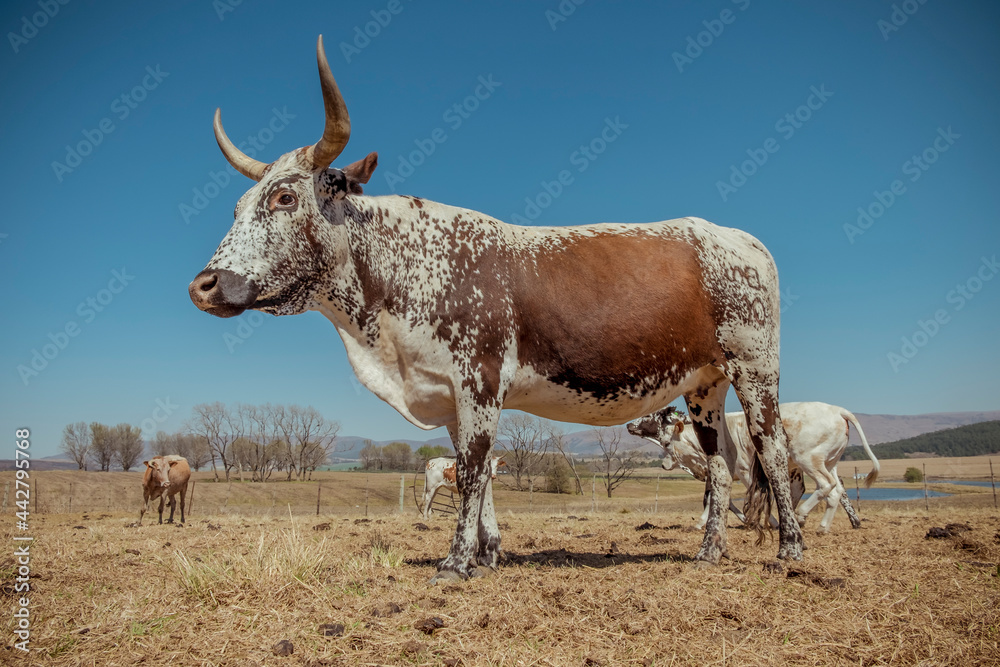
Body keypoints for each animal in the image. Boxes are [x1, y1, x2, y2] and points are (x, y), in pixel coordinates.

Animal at [188, 36, 804, 581]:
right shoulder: (450, 393)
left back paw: (790, 551)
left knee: (772, 449)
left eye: (284, 197)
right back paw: (710, 552)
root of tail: (733, 237)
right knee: (720, 466)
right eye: (239, 204)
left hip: (755, 369)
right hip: (704, 384)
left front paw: (456, 562)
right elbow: (476, 469)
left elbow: (471, 470)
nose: (204, 285)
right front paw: (487, 553)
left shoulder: (479, 379)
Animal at [628, 402, 881, 533]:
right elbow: (716, 498)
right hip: (829, 462)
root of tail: (838, 410)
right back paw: (823, 526)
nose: (630, 424)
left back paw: (800, 515)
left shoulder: (743, 470)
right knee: (836, 491)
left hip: (809, 460)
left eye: (649, 416)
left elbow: (754, 496)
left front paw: (763, 521)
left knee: (825, 486)